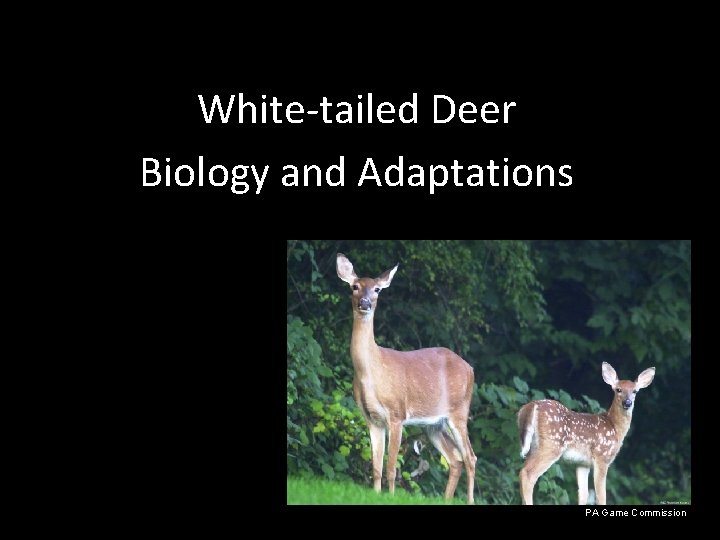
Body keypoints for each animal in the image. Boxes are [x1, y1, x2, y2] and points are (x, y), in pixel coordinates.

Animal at [336, 253, 477, 504]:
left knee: (470, 457)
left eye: (377, 289)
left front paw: (391, 496)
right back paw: (446, 499)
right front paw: (376, 494)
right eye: (355, 286)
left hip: (459, 411)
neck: (371, 373)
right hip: (434, 424)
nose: (365, 303)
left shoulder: (397, 414)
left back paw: (469, 500)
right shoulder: (371, 418)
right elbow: (376, 467)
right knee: (455, 459)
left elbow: (392, 467)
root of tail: (470, 368)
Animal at [517, 362, 655, 505]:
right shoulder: (602, 457)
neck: (614, 427)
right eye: (618, 390)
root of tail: (531, 406)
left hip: (535, 446)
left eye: (635, 391)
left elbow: (583, 494)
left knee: (522, 471)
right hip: (552, 445)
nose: (627, 403)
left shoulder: (583, 463)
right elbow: (601, 495)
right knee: (527, 474)